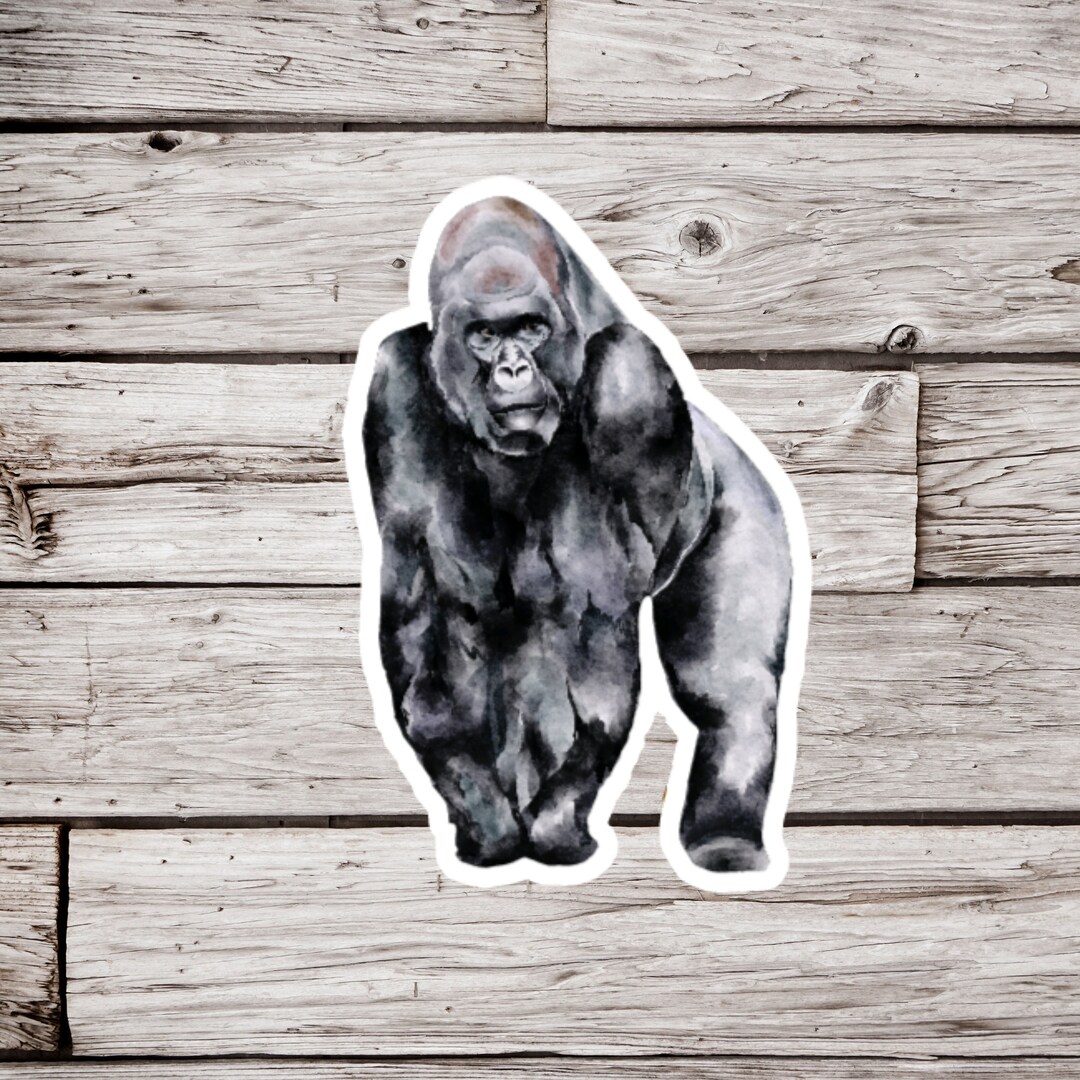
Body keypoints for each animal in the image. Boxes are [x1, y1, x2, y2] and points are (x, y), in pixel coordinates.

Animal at [351, 184, 806, 887]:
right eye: (486, 336)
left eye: (531, 330)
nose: (512, 369)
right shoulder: (391, 381)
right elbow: (432, 620)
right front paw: (486, 825)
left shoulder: (630, 378)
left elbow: (590, 620)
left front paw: (560, 823)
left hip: (748, 495)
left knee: (731, 694)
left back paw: (724, 840)